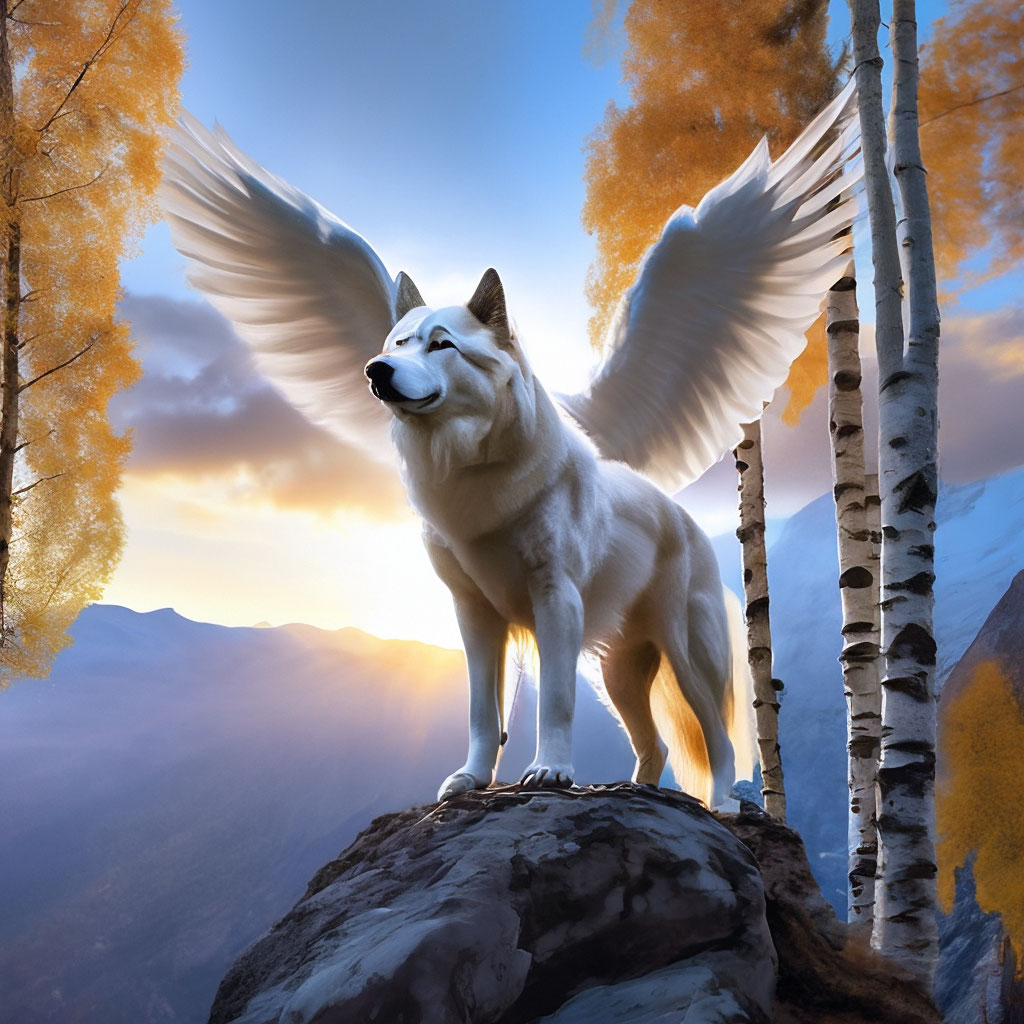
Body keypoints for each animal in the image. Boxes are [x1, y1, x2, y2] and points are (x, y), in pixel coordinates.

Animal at [161, 81, 860, 808]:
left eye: (443, 344)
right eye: (396, 343)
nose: (375, 372)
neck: (476, 473)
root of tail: (682, 514)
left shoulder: (555, 602)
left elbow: (551, 703)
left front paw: (549, 772)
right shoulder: (474, 615)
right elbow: (480, 710)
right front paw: (471, 779)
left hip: (682, 651)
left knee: (717, 737)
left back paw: (720, 803)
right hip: (619, 672)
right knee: (657, 744)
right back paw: (631, 792)